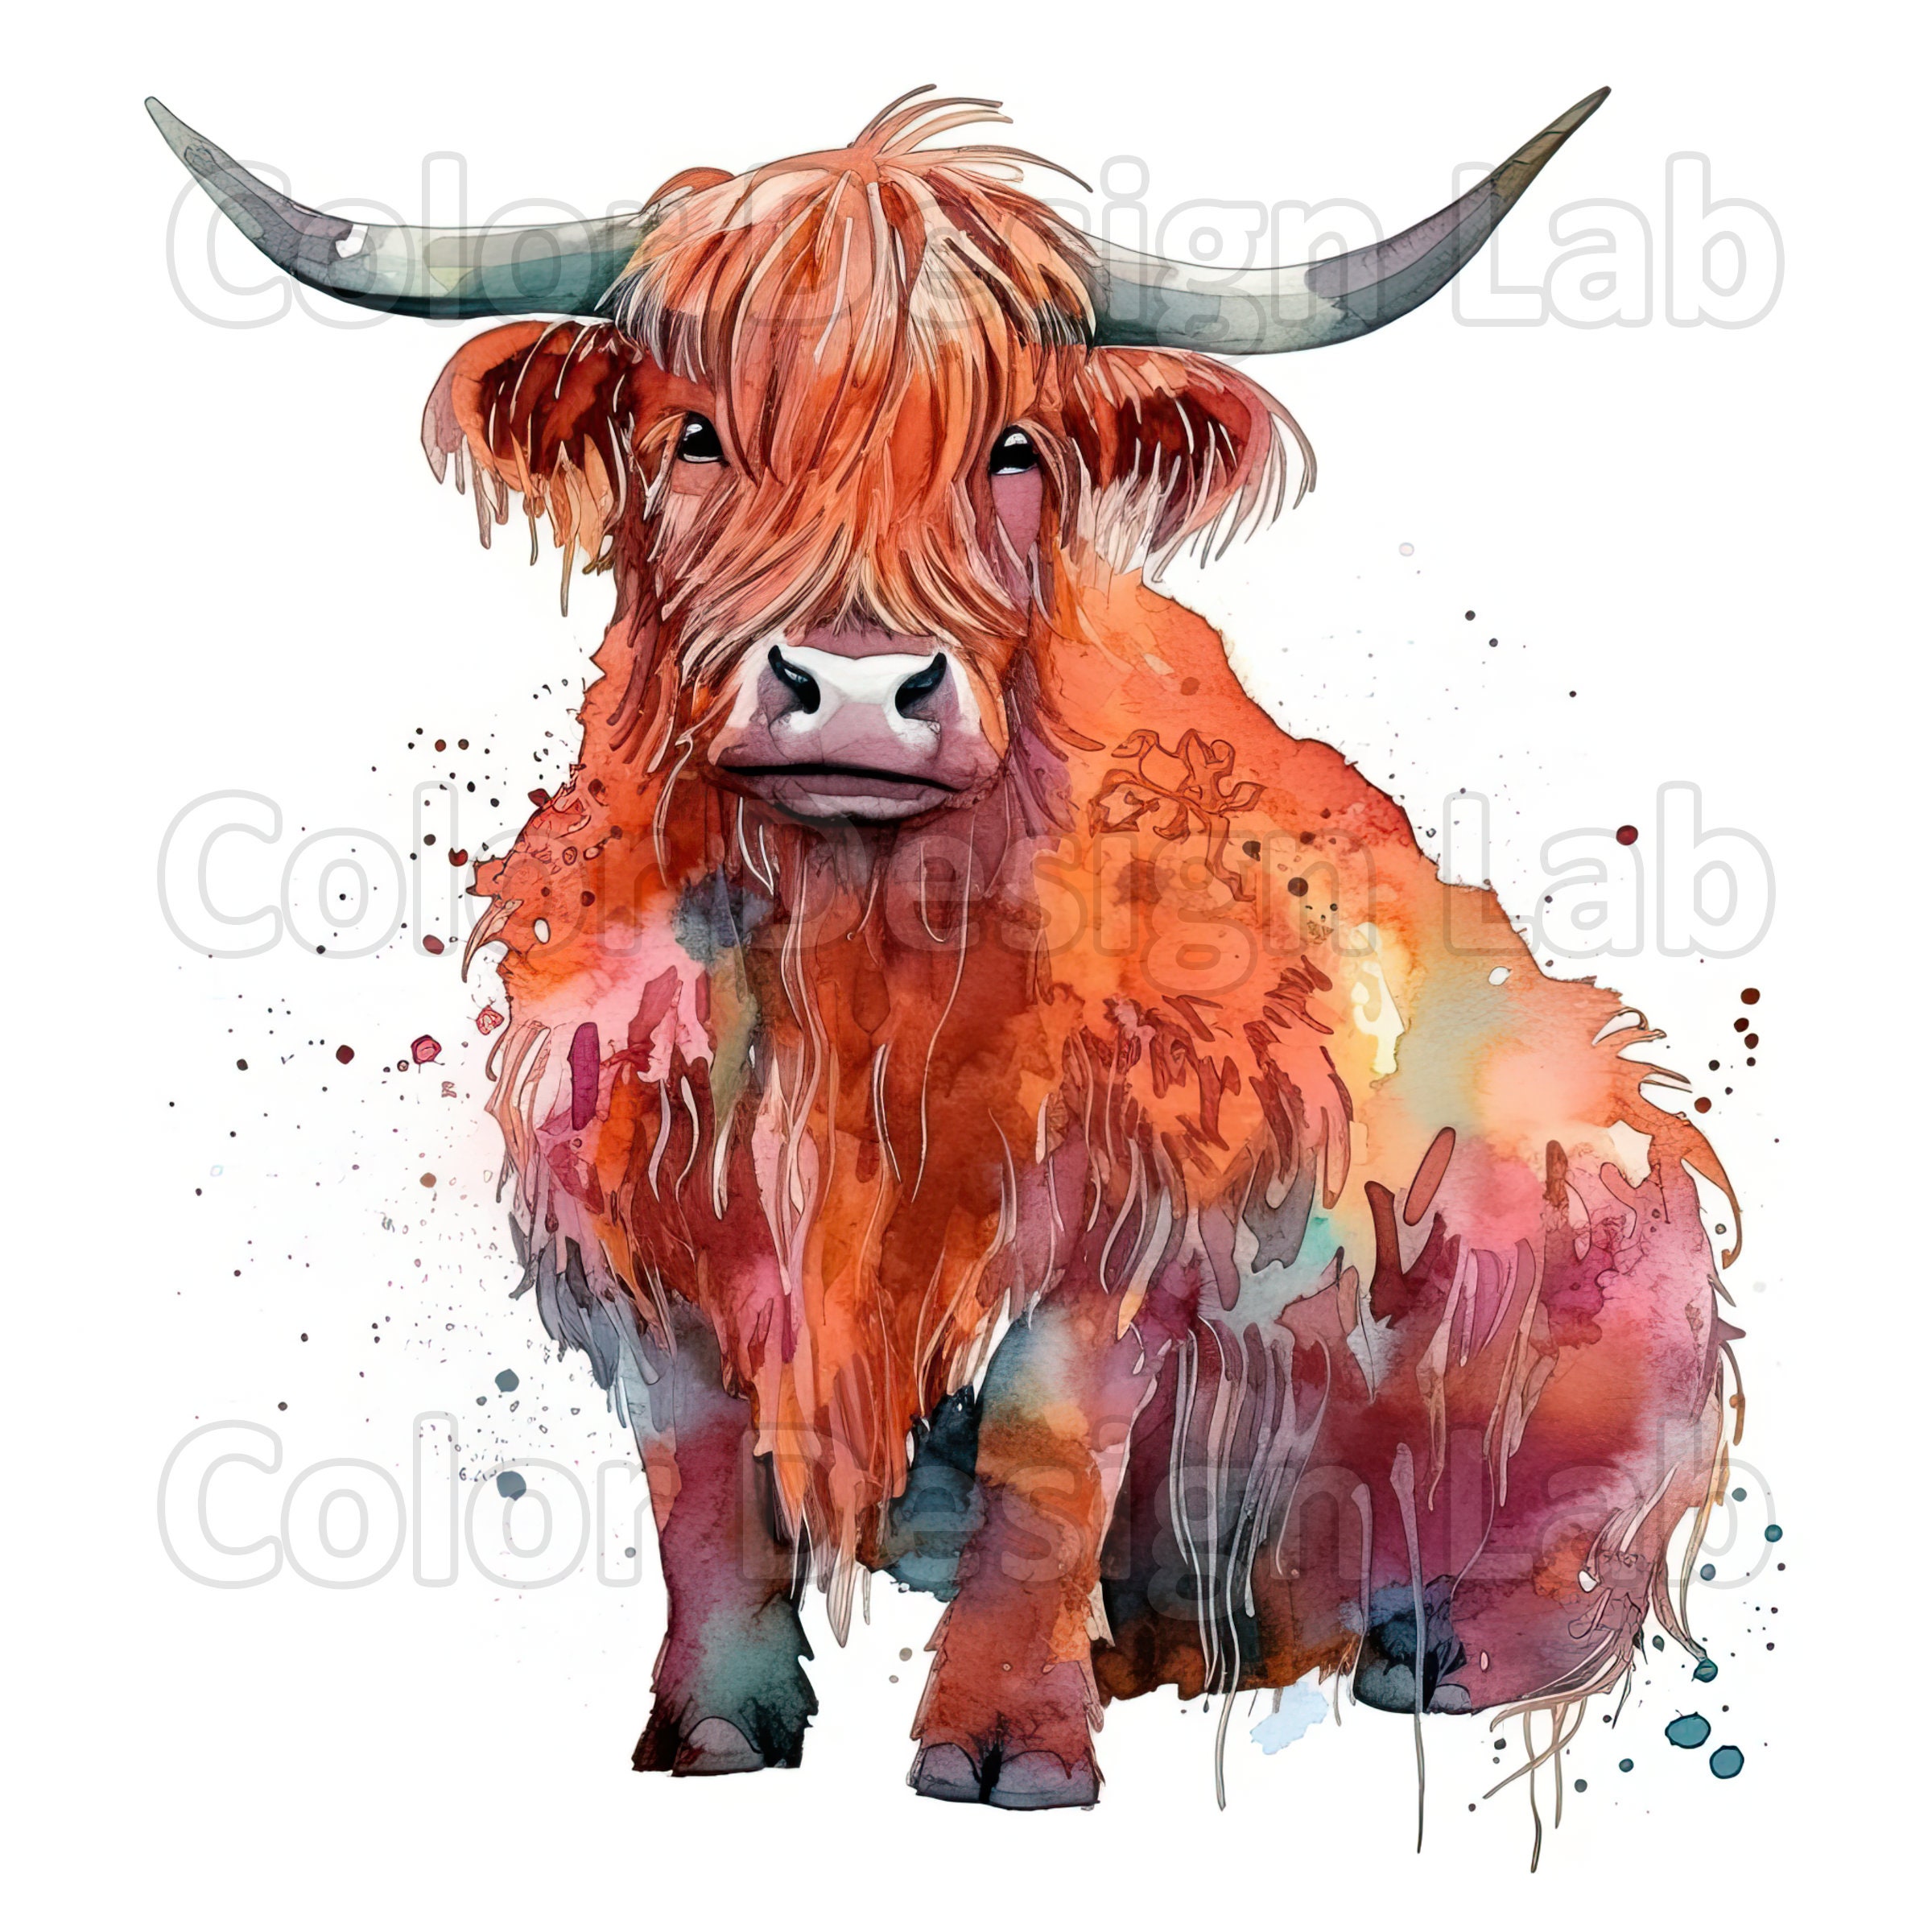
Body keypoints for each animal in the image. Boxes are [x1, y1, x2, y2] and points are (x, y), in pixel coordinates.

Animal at [152, 85, 1743, 1824]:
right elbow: (695, 1478)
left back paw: (1439, 1657)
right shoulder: (634, 1198)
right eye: (697, 435)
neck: (842, 966)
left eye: (1013, 451)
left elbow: (1044, 1463)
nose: (856, 690)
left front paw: (1008, 1747)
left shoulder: (1116, 1213)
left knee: (1586, 1559)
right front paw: (714, 1726)